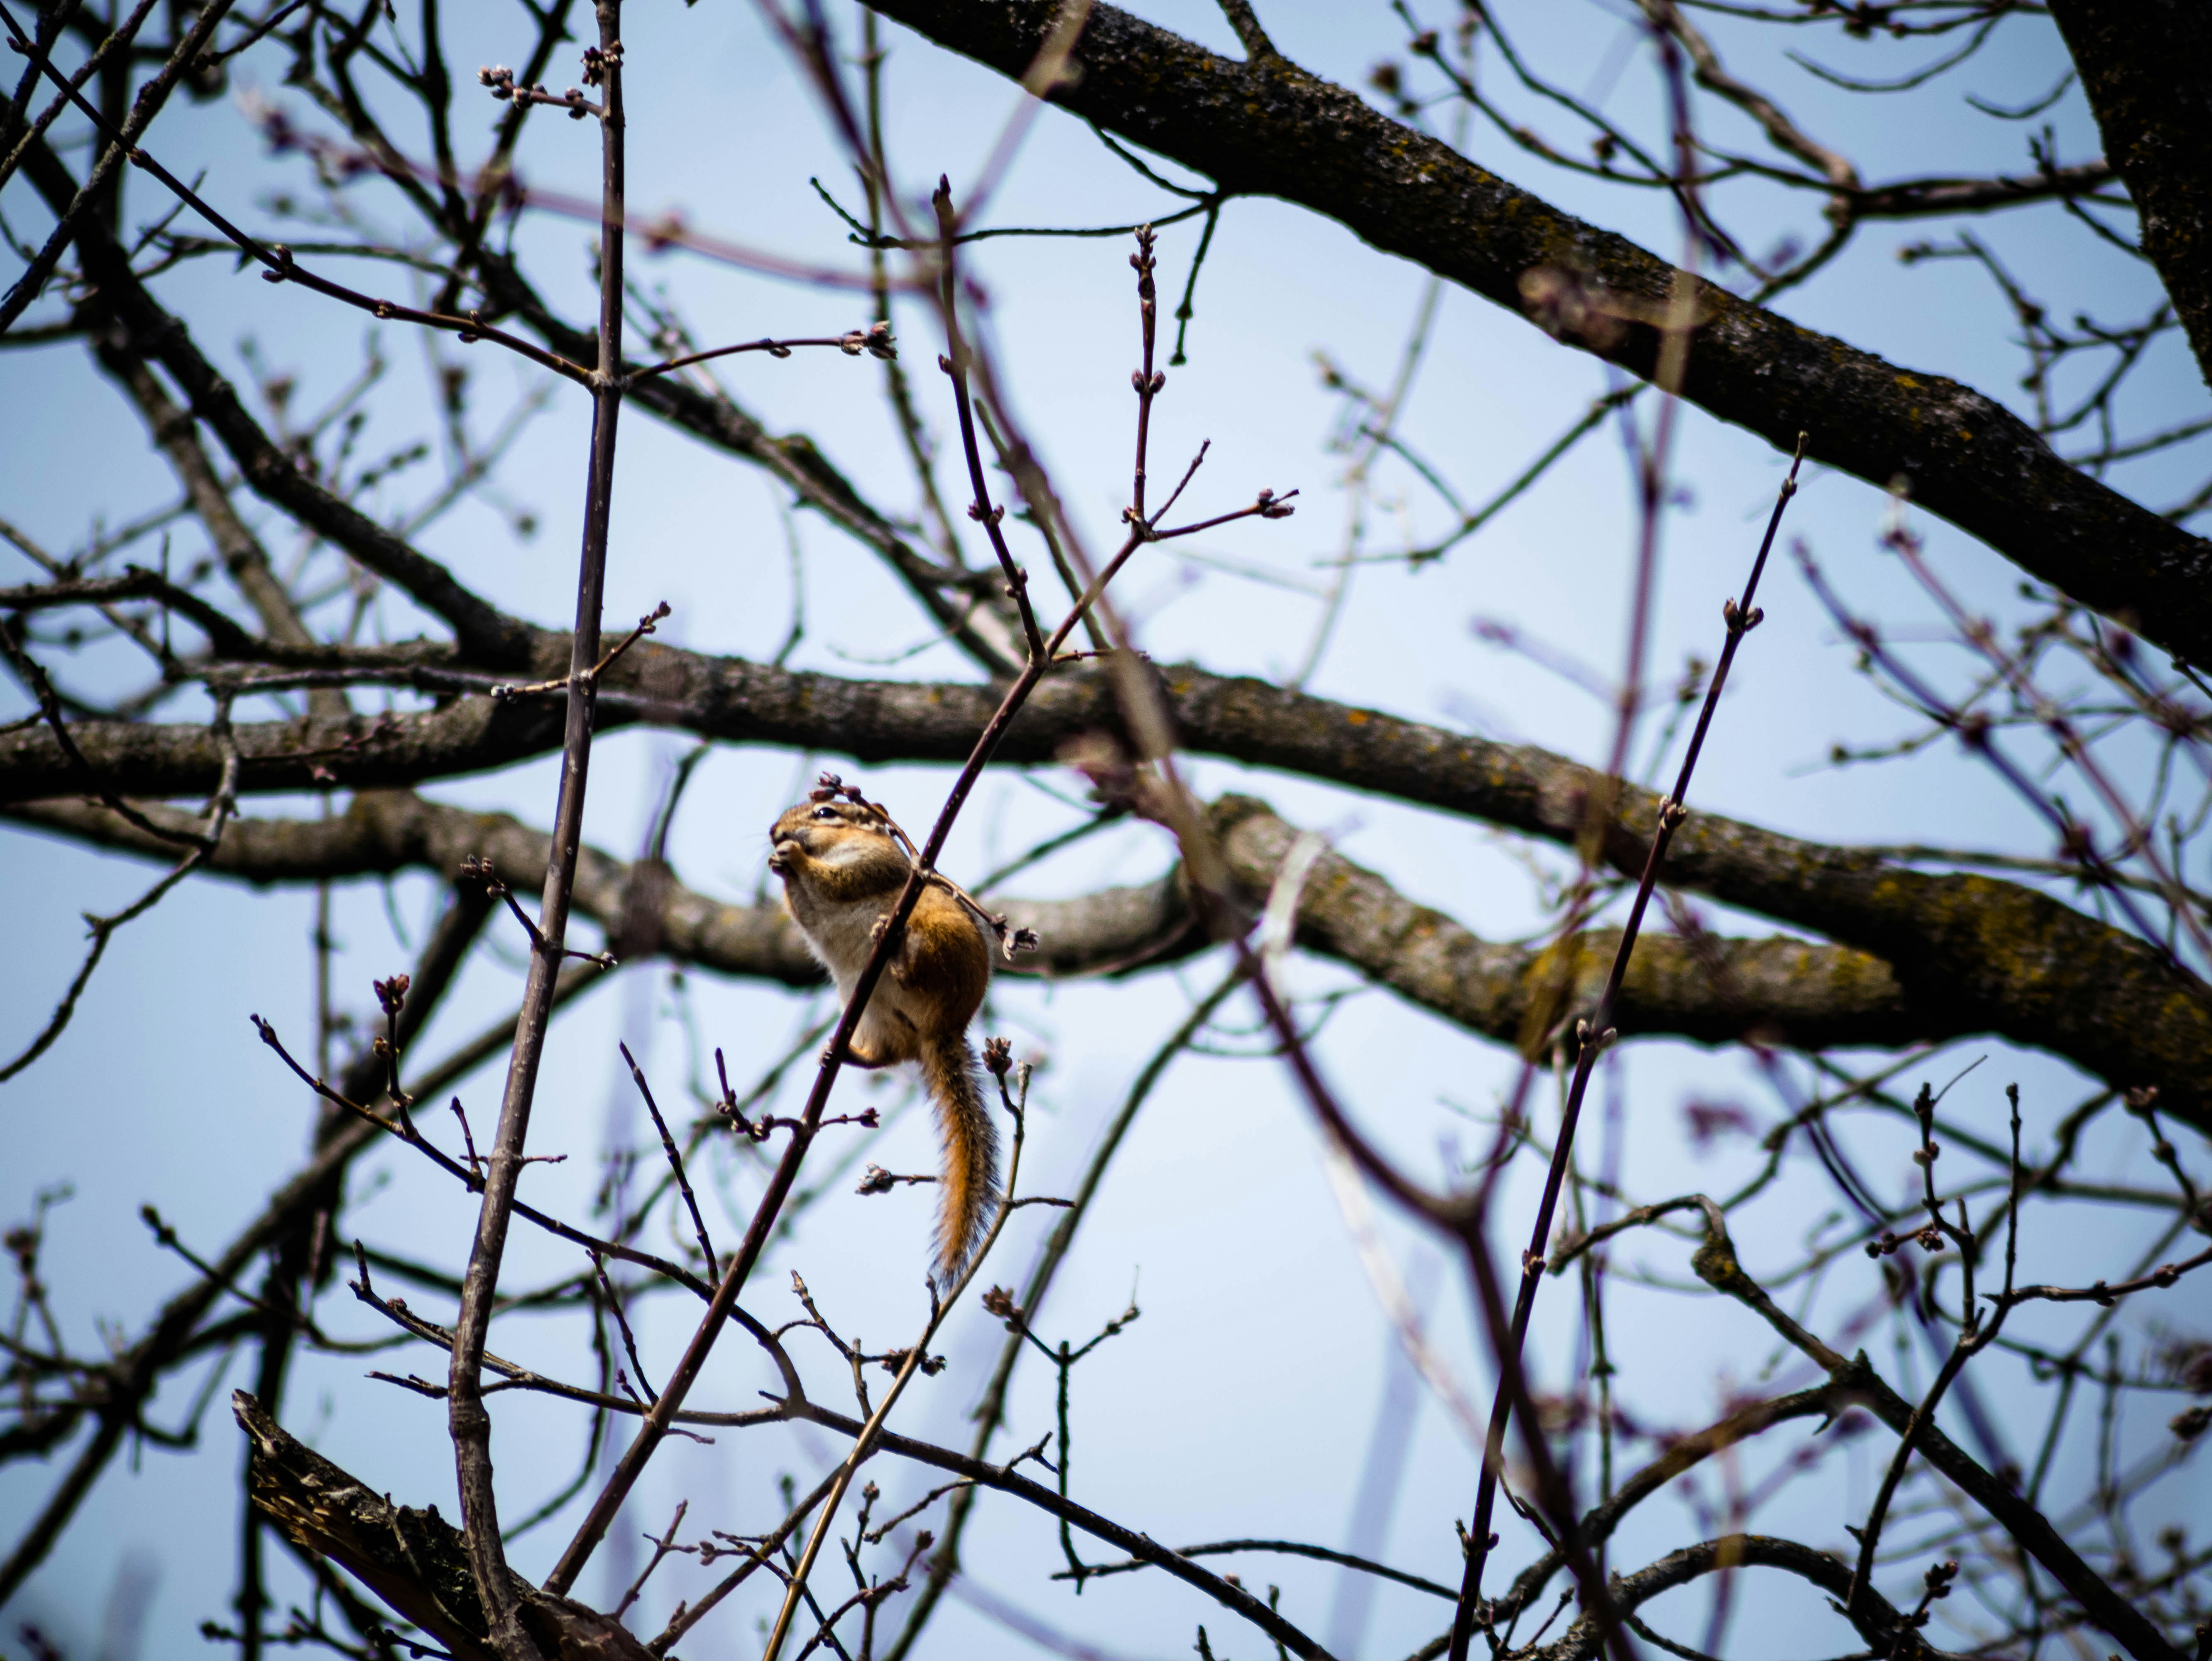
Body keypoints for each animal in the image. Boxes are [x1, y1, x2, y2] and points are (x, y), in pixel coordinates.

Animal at [767, 794, 998, 1285]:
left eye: (826, 814)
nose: (776, 833)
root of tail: (941, 1030)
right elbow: (804, 911)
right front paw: (779, 866)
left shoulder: (875, 865)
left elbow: (838, 882)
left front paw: (794, 858)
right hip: (875, 1016)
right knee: (887, 1055)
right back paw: (842, 1052)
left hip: (939, 942)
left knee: (917, 969)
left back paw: (900, 954)